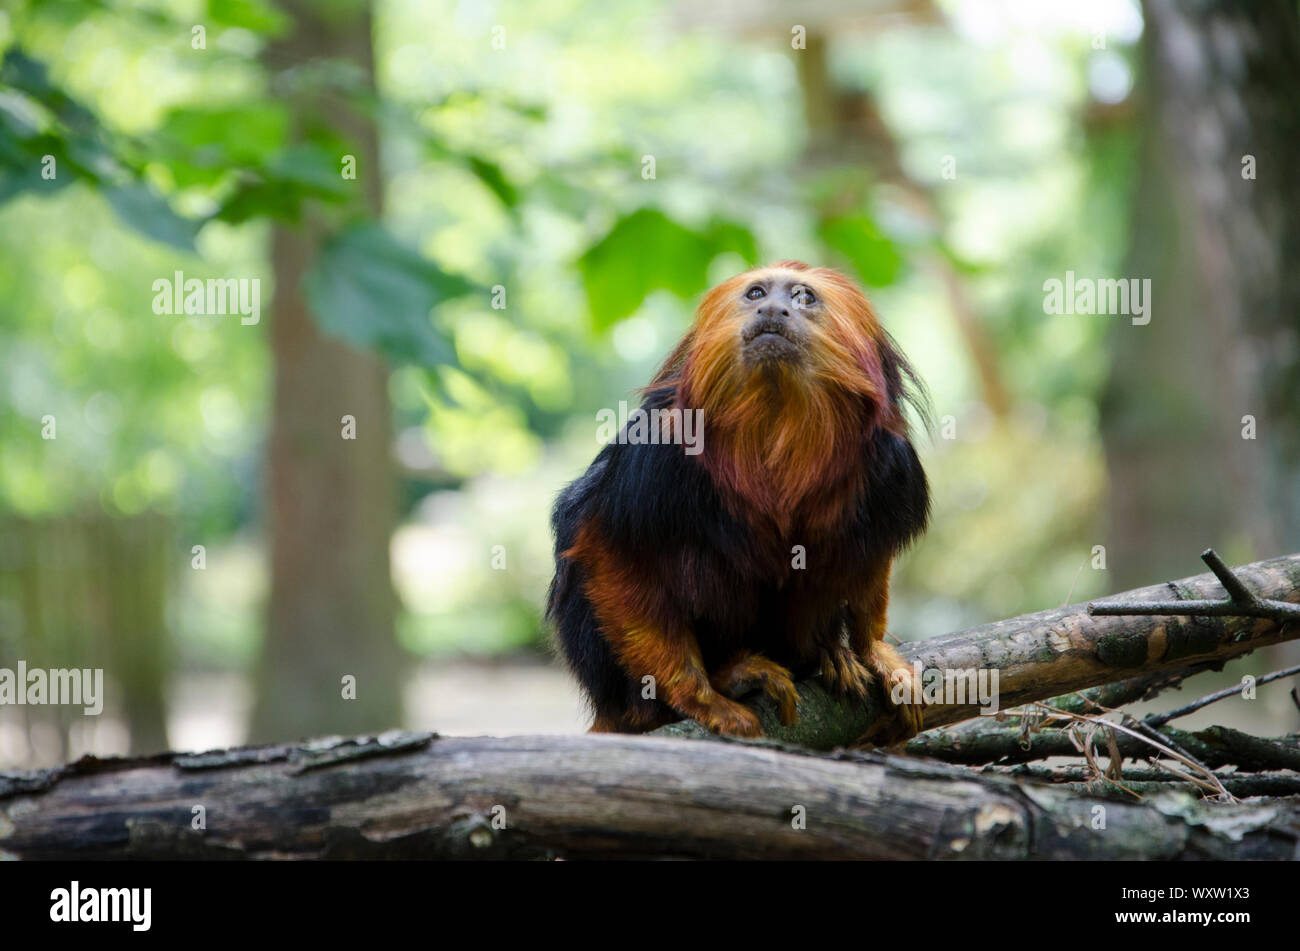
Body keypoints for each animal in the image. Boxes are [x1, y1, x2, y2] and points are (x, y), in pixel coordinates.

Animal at [547, 261, 930, 743]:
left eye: (803, 297)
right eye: (757, 294)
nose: (773, 309)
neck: (776, 421)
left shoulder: (889, 467)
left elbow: (869, 556)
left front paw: (871, 648)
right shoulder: (658, 451)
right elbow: (606, 544)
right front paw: (699, 696)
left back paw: (825, 654)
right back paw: (722, 679)